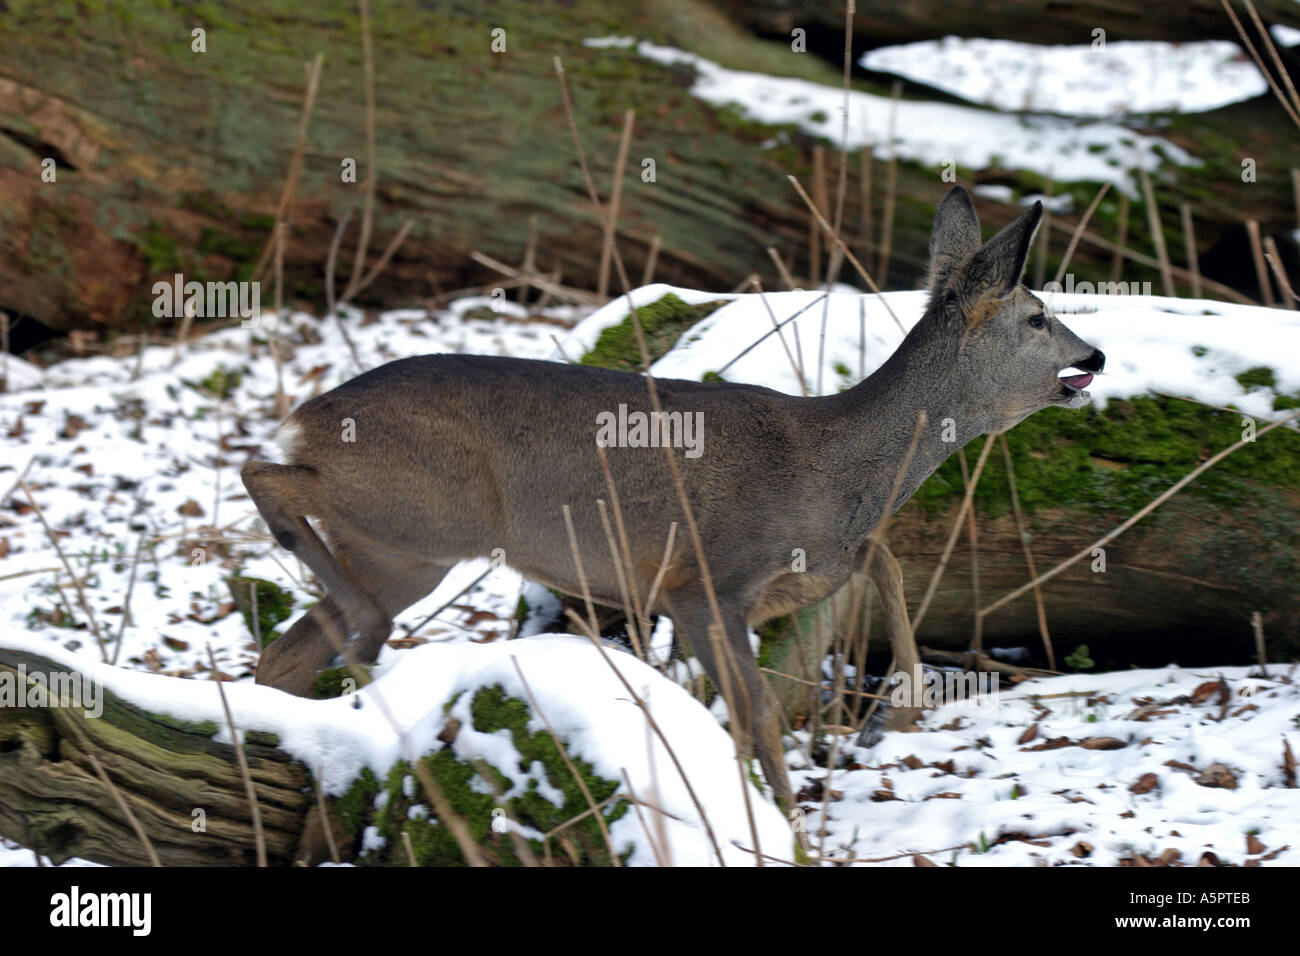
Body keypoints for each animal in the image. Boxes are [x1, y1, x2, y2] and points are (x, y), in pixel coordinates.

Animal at [240, 185, 1105, 812]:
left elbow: (878, 562)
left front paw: (903, 708)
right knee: (267, 474)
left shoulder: (780, 576)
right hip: (427, 510)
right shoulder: (704, 580)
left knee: (286, 647)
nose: (1095, 355)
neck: (827, 466)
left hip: (396, 546)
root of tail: (313, 413)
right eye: (1038, 315)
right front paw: (781, 820)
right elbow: (753, 712)